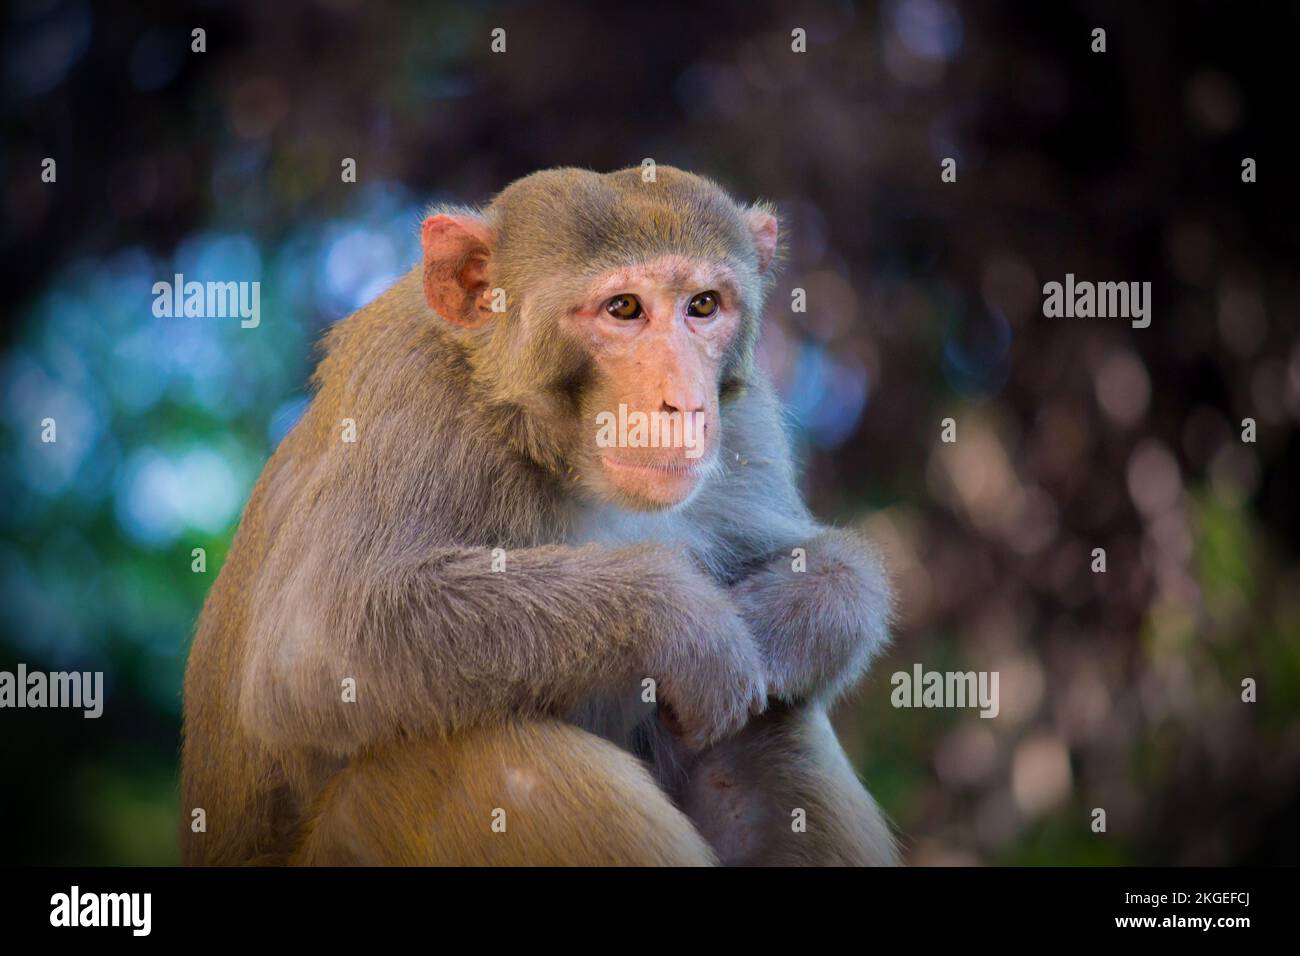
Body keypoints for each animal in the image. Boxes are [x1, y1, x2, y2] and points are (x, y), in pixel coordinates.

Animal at [179, 165, 898, 866]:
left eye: (703, 306)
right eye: (624, 308)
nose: (686, 404)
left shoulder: (746, 419)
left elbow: (818, 562)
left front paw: (778, 625)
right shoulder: (407, 393)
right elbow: (317, 643)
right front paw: (687, 624)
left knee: (775, 724)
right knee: (502, 752)